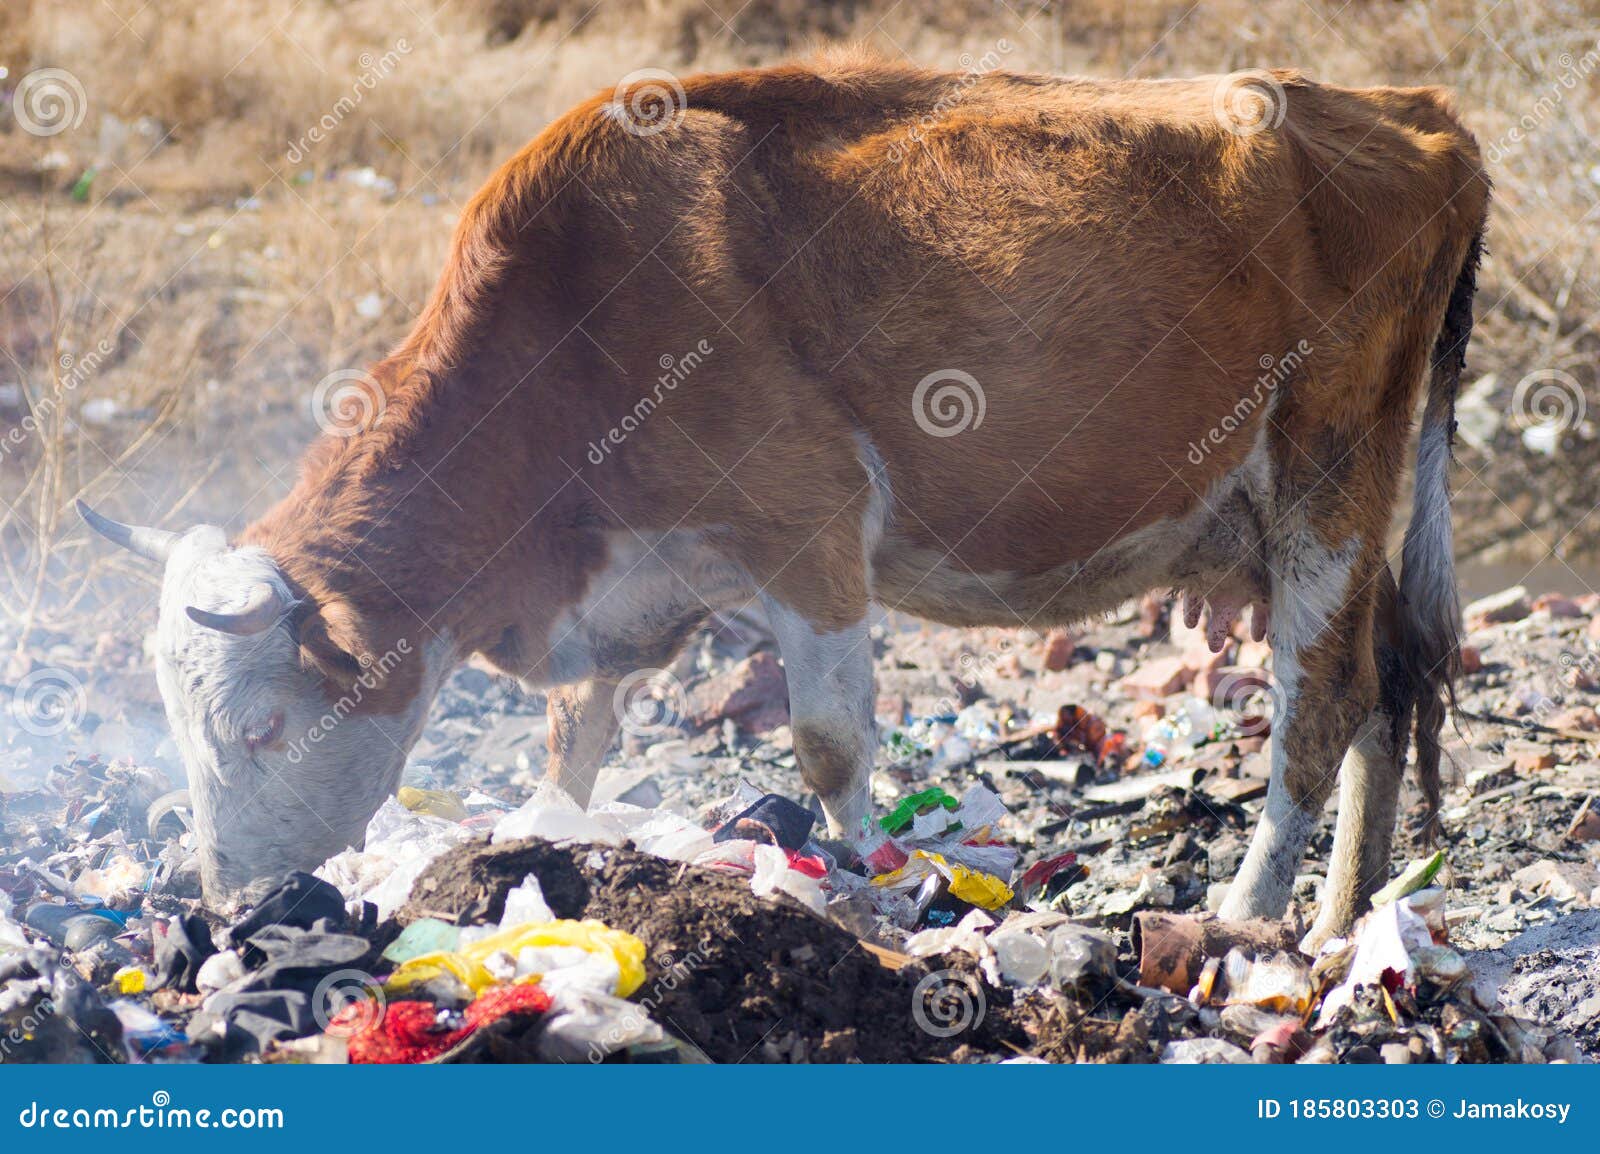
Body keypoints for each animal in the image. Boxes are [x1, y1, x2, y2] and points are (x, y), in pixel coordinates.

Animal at [80, 54, 1488, 946]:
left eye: (260, 724)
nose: (222, 897)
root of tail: (1407, 110)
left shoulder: (807, 531)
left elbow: (830, 746)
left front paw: (859, 892)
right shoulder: (626, 584)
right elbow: (571, 745)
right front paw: (545, 847)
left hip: (1327, 473)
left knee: (1321, 700)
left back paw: (1247, 914)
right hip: (1298, 516)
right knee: (1382, 685)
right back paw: (1339, 915)